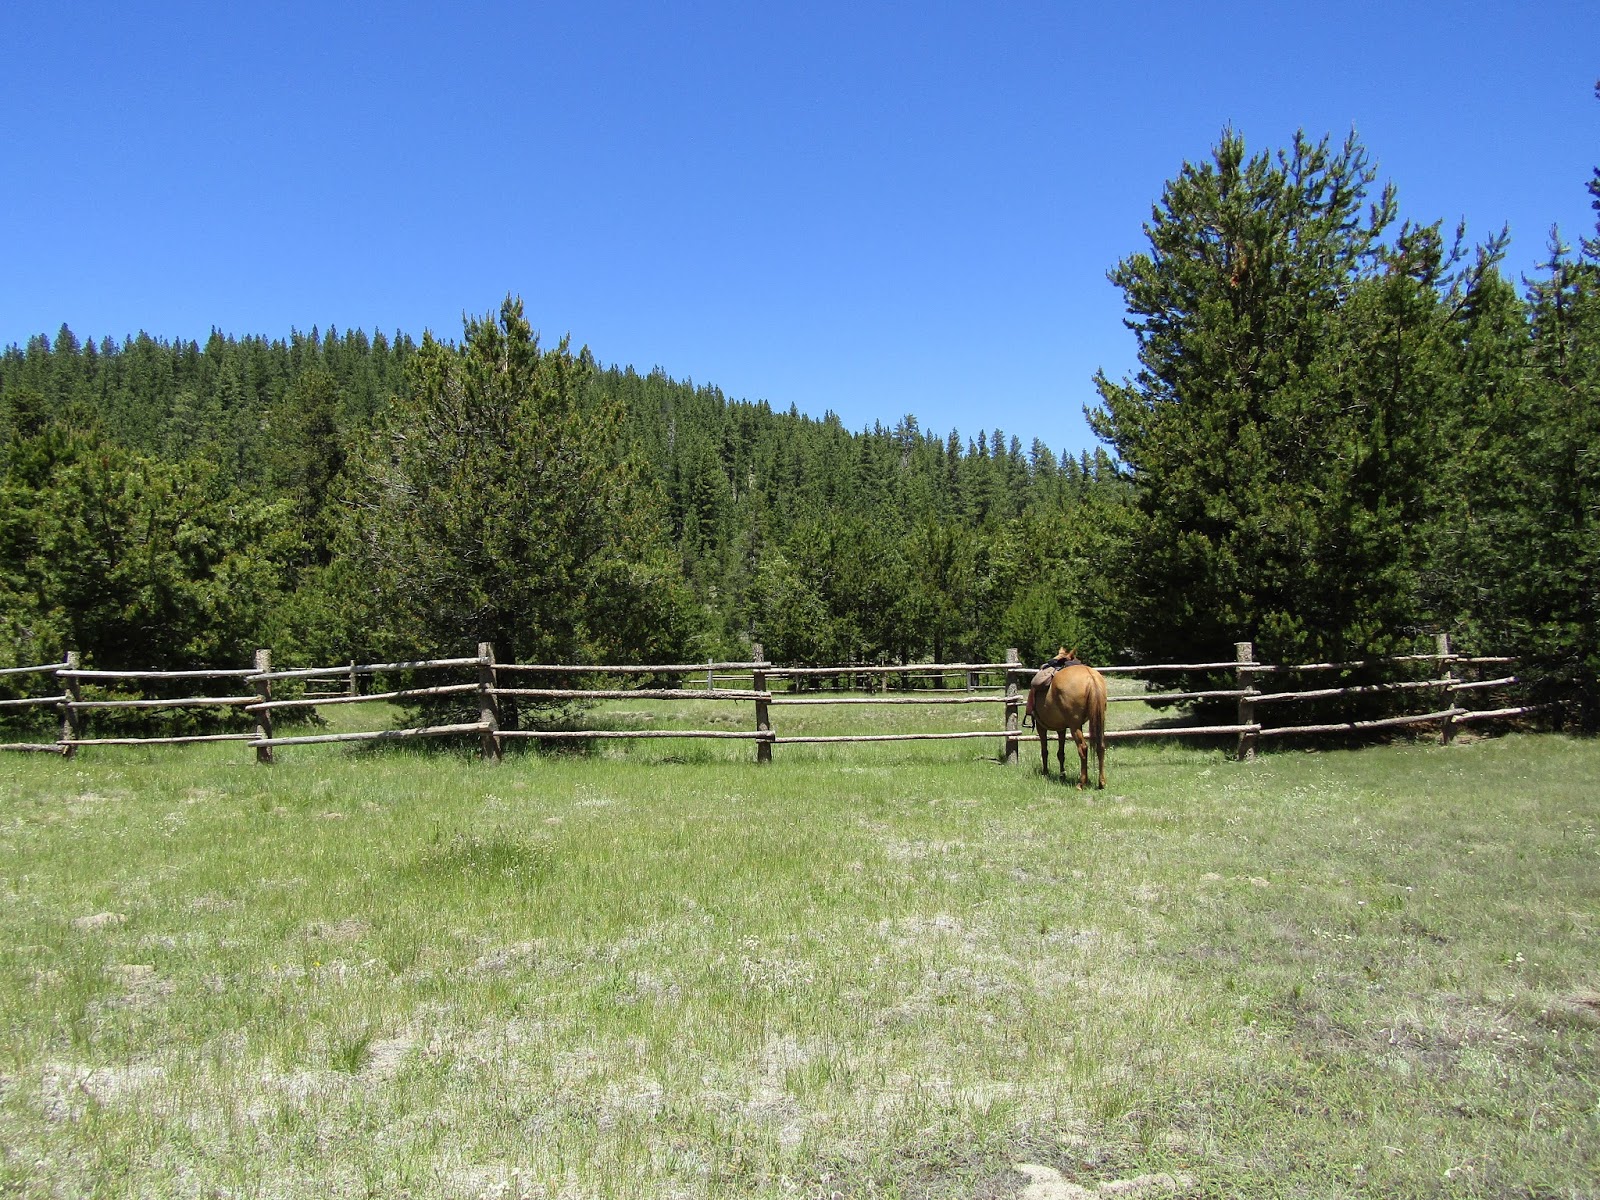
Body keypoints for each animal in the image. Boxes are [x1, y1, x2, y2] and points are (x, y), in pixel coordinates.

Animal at [1033, 659, 1108, 788]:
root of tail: (1091, 678)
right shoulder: (1061, 729)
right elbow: (1060, 753)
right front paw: (1062, 775)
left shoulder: (1041, 726)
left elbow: (1045, 751)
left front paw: (1045, 772)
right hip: (1098, 722)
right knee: (1100, 747)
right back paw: (1101, 782)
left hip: (1074, 726)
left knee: (1083, 748)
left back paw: (1081, 783)